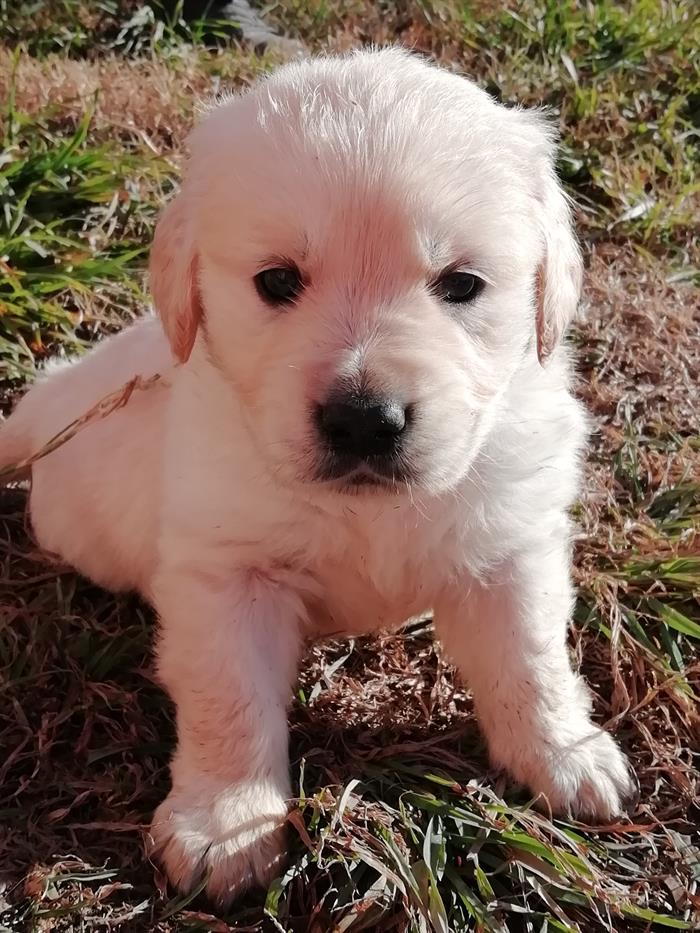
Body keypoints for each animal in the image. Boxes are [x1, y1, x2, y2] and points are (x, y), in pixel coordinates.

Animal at [0, 45, 636, 904]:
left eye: (461, 283)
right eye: (276, 281)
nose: (364, 420)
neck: (365, 512)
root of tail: (51, 395)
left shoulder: (509, 543)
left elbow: (531, 658)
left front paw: (564, 754)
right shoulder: (225, 576)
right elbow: (229, 702)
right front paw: (225, 822)